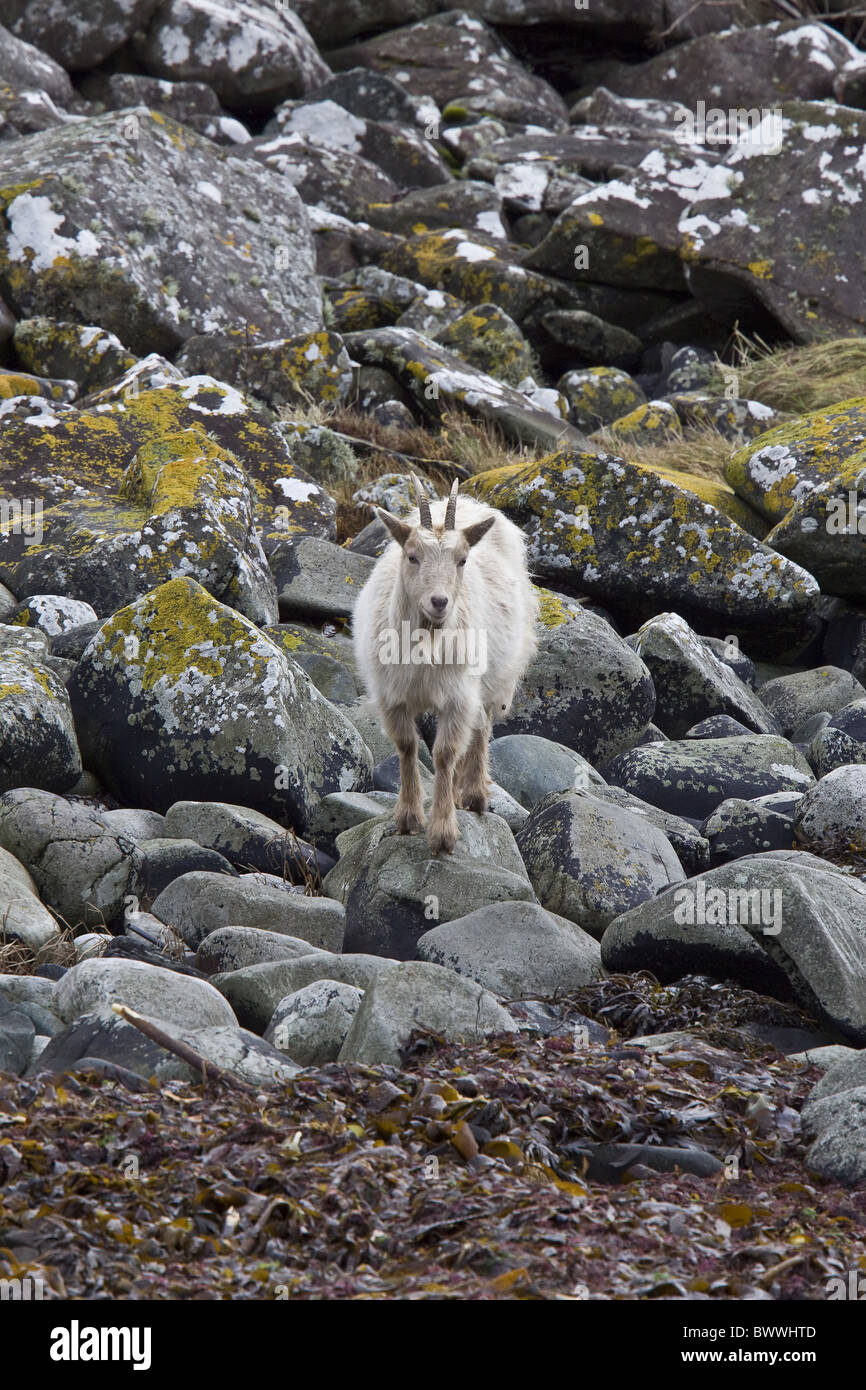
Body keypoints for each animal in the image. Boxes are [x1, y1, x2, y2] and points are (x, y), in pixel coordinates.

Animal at [353, 475, 538, 855]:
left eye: (462, 560)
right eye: (412, 556)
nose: (440, 602)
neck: (428, 641)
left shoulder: (457, 696)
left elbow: (444, 753)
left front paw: (442, 832)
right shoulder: (392, 696)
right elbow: (408, 746)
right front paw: (409, 818)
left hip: (493, 678)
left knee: (481, 726)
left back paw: (474, 795)